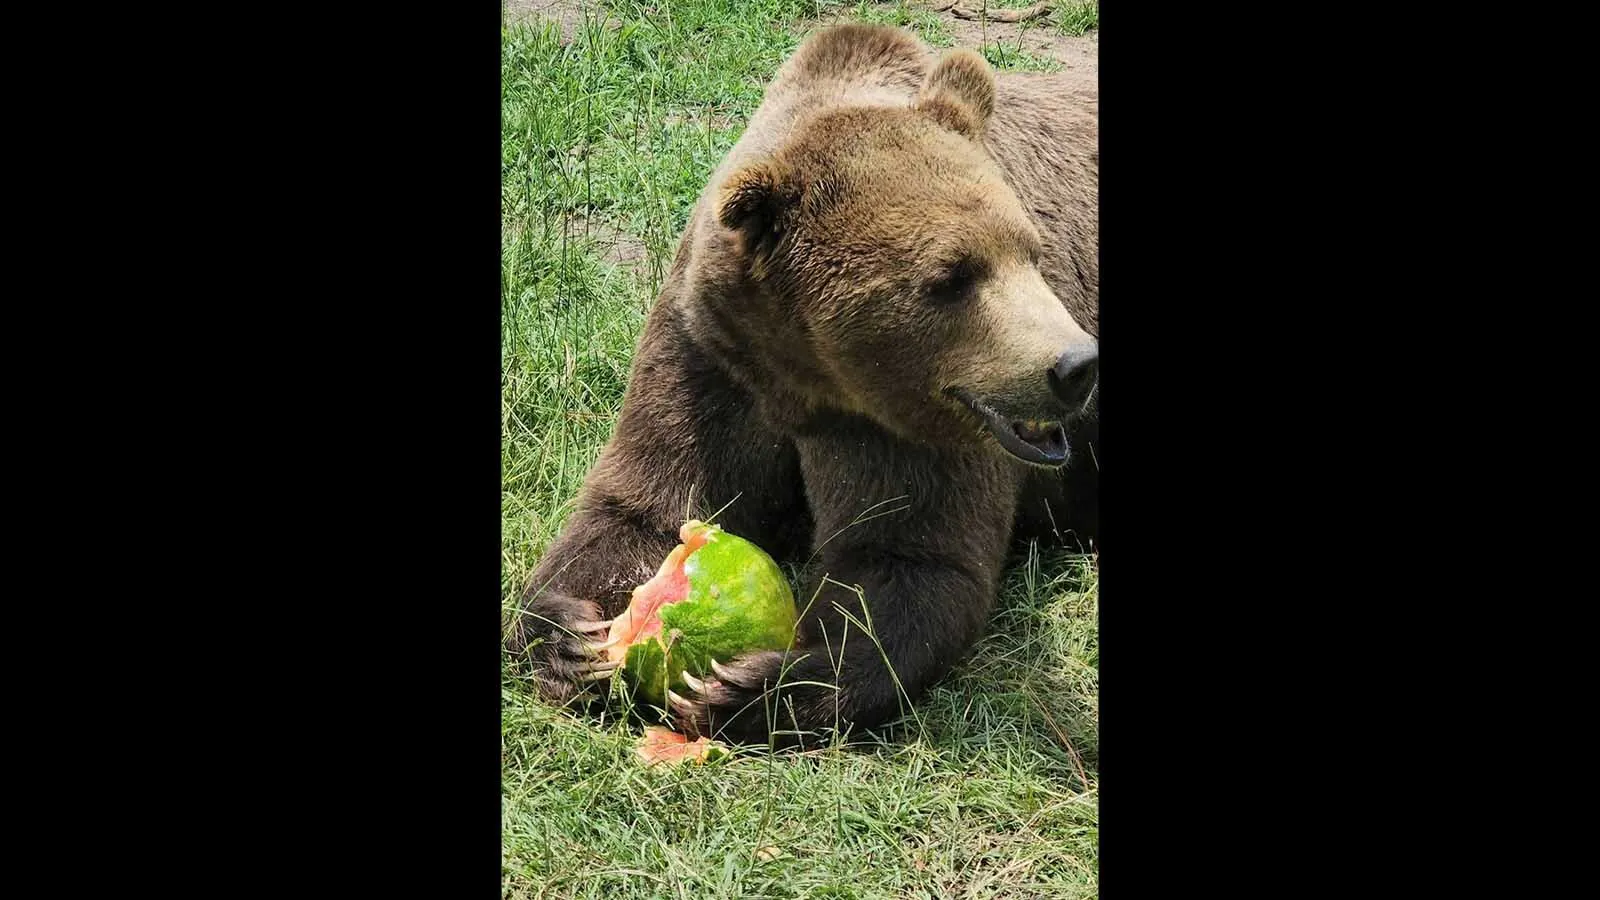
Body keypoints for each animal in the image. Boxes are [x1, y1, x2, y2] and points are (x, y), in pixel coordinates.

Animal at [505, 24, 1098, 746]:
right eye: (952, 275)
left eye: (1031, 251)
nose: (1074, 365)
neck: (808, 370)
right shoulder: (712, 361)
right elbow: (642, 506)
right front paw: (568, 633)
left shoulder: (901, 419)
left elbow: (912, 560)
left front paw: (753, 683)